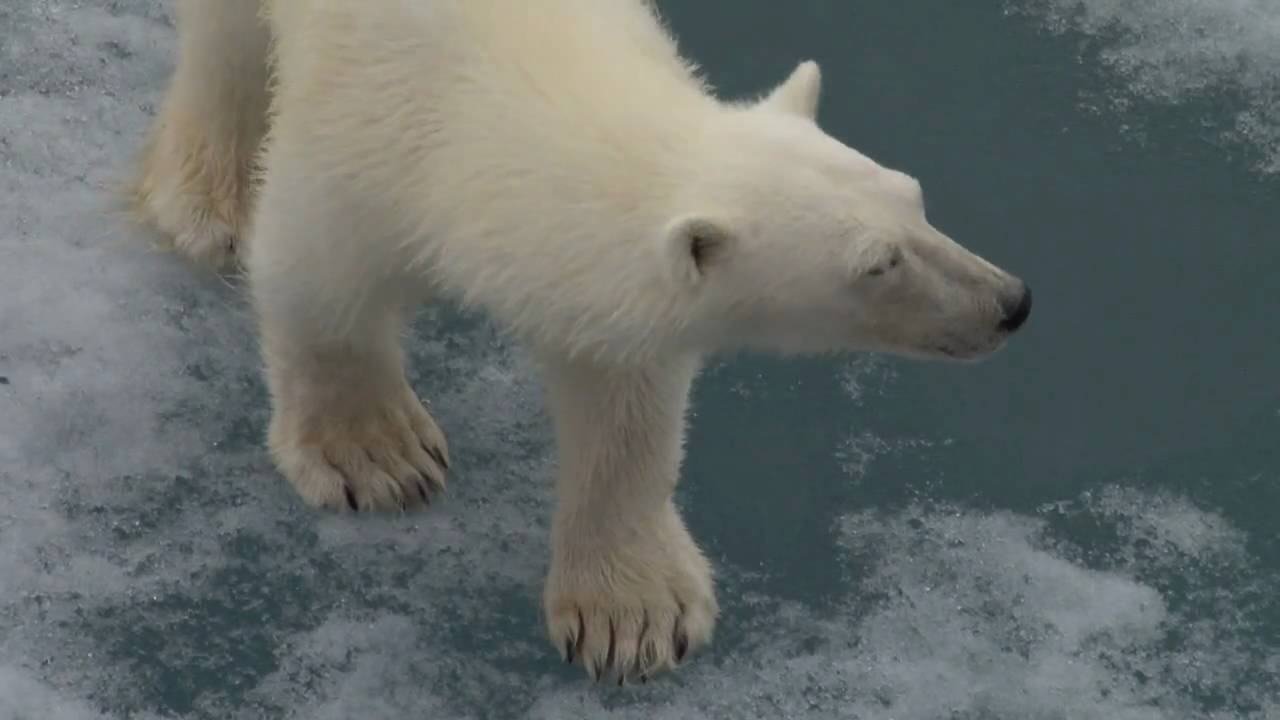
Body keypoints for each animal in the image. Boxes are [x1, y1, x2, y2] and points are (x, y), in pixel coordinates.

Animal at [128, 0, 1032, 684]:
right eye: (876, 265)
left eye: (915, 197)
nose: (1010, 303)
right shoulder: (360, 143)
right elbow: (315, 284)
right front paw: (378, 457)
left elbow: (623, 400)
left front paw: (633, 614)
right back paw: (206, 197)